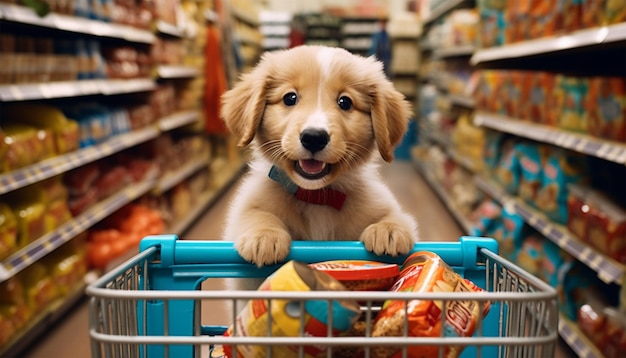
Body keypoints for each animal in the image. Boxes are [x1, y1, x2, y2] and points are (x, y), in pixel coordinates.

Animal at [222, 45, 416, 266]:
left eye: (345, 102)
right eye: (290, 98)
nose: (314, 138)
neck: (316, 196)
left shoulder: (384, 205)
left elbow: (395, 216)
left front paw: (389, 229)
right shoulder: (245, 209)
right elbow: (255, 213)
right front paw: (264, 234)